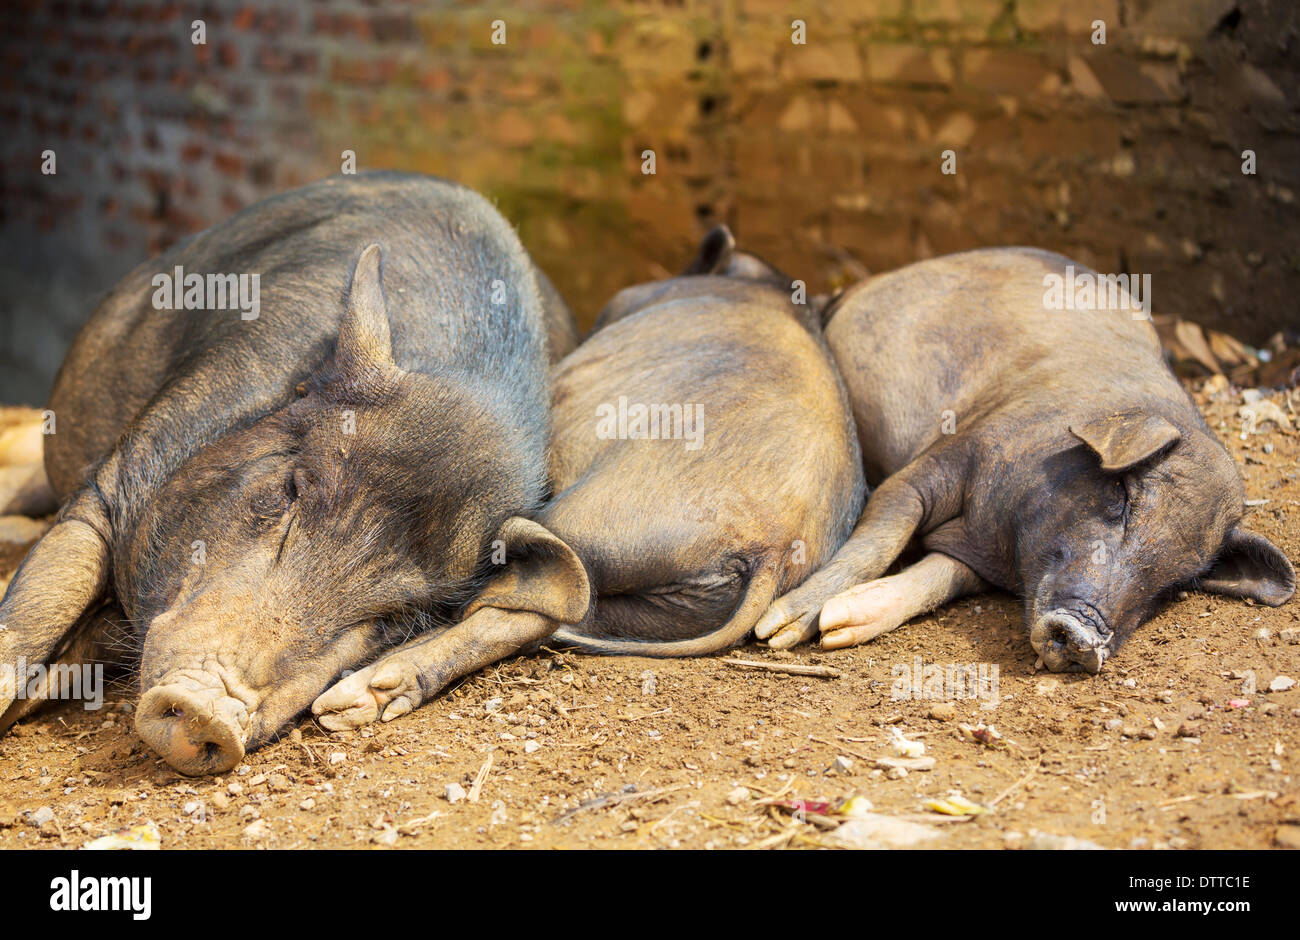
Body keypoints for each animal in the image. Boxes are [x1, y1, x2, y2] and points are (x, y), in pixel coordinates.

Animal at [754, 247, 1295, 672]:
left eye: (1178, 582)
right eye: (1123, 499)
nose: (1085, 636)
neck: (1002, 539)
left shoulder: (975, 558)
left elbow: (939, 577)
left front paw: (839, 626)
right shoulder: (951, 453)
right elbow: (881, 536)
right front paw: (776, 632)